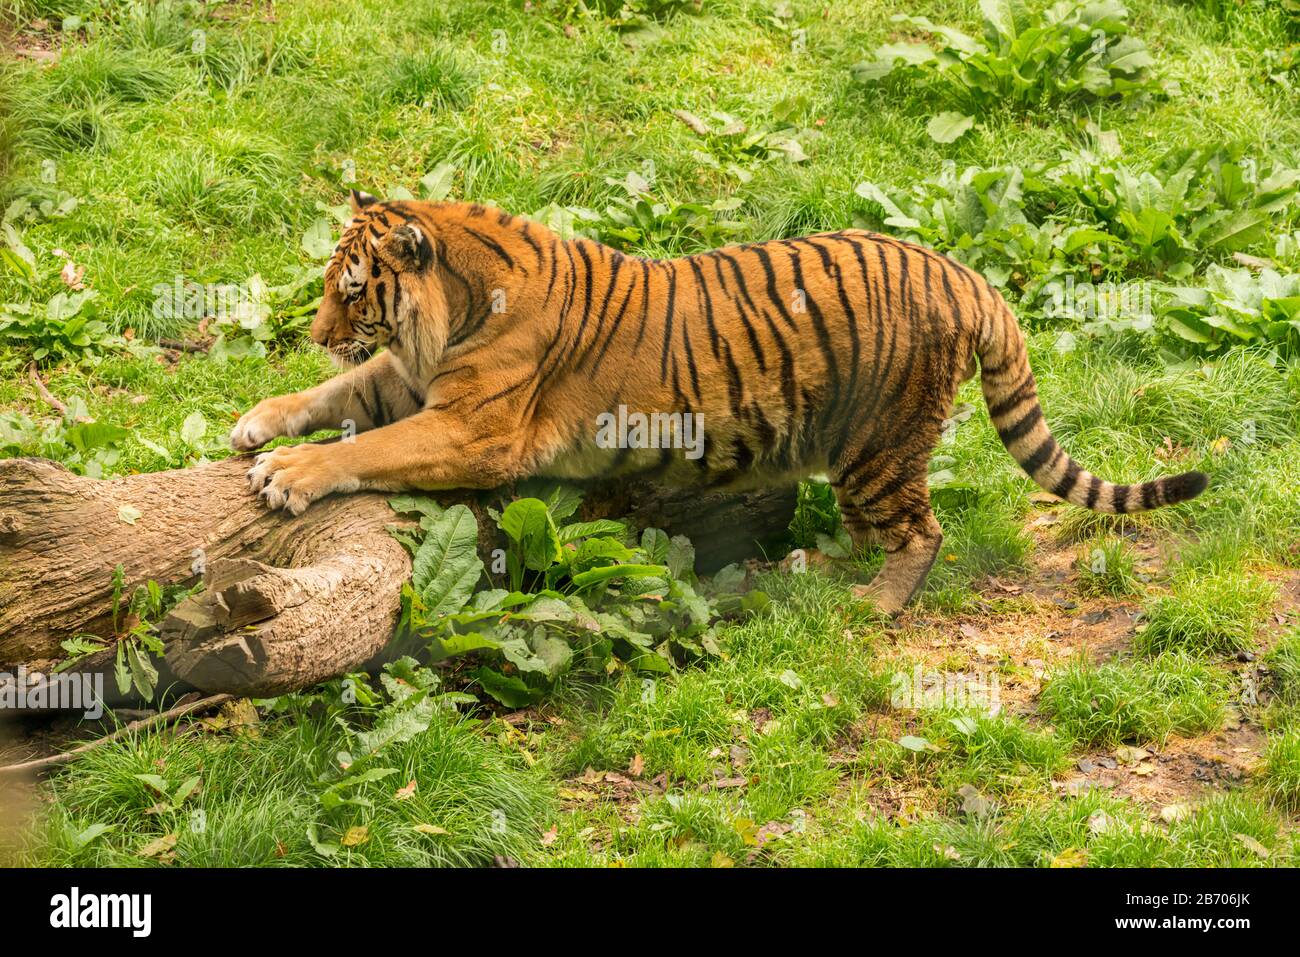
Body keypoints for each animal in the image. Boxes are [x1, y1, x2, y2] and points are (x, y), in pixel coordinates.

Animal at [231, 189, 1208, 615]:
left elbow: (366, 447)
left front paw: (289, 472)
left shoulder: (474, 427)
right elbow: (337, 393)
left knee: (920, 531)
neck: (455, 311)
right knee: (875, 528)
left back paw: (874, 604)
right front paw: (259, 421)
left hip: (880, 445)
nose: (315, 327)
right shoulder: (410, 379)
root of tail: (966, 274)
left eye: (350, 289)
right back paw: (813, 569)